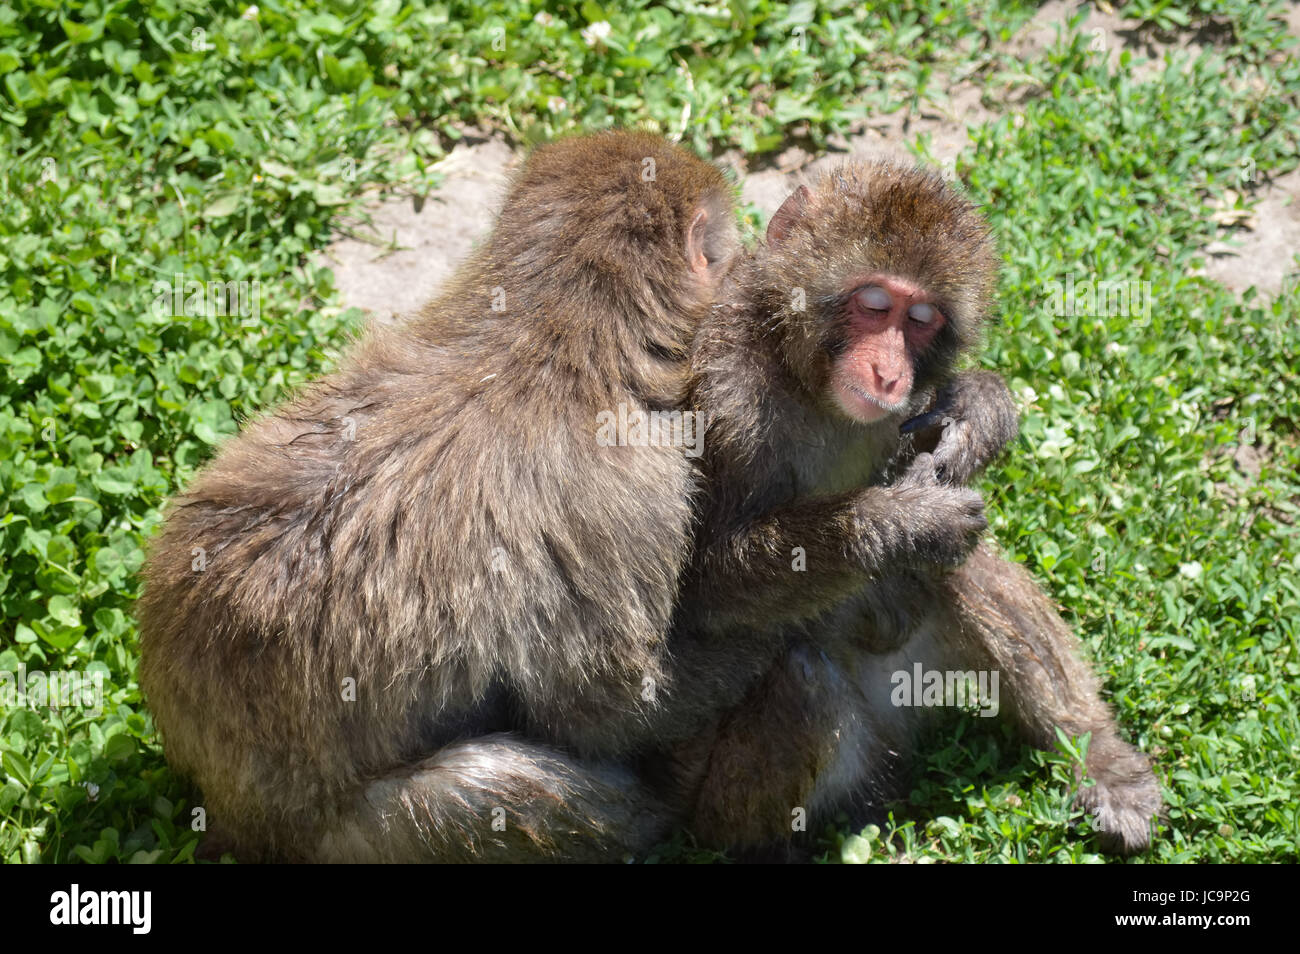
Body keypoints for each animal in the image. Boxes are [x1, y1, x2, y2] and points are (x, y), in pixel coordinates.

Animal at [138, 129, 755, 862]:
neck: (554, 330)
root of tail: (230, 811)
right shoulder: (633, 492)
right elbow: (610, 708)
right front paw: (765, 639)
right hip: (359, 837)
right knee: (497, 790)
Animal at [661, 162, 1161, 857]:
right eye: (874, 305)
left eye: (921, 318)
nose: (890, 375)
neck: (803, 379)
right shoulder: (724, 401)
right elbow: (700, 592)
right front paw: (901, 522)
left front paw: (977, 411)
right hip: (729, 796)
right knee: (803, 680)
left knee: (964, 570)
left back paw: (1094, 755)